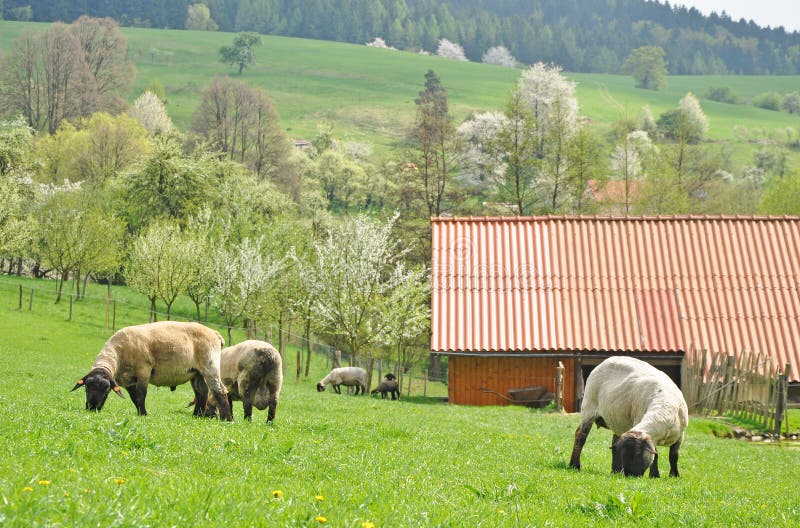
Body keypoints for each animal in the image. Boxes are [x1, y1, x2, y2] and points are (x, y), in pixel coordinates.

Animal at [71, 321, 232, 421]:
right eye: (86, 388)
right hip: (196, 372)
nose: (92, 408)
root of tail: (215, 334)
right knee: (201, 393)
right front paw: (140, 412)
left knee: (219, 391)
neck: (118, 353)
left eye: (106, 390)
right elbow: (134, 398)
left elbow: (141, 395)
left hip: (210, 366)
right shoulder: (128, 381)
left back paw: (227, 419)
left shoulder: (144, 371)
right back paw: (197, 416)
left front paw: (143, 414)